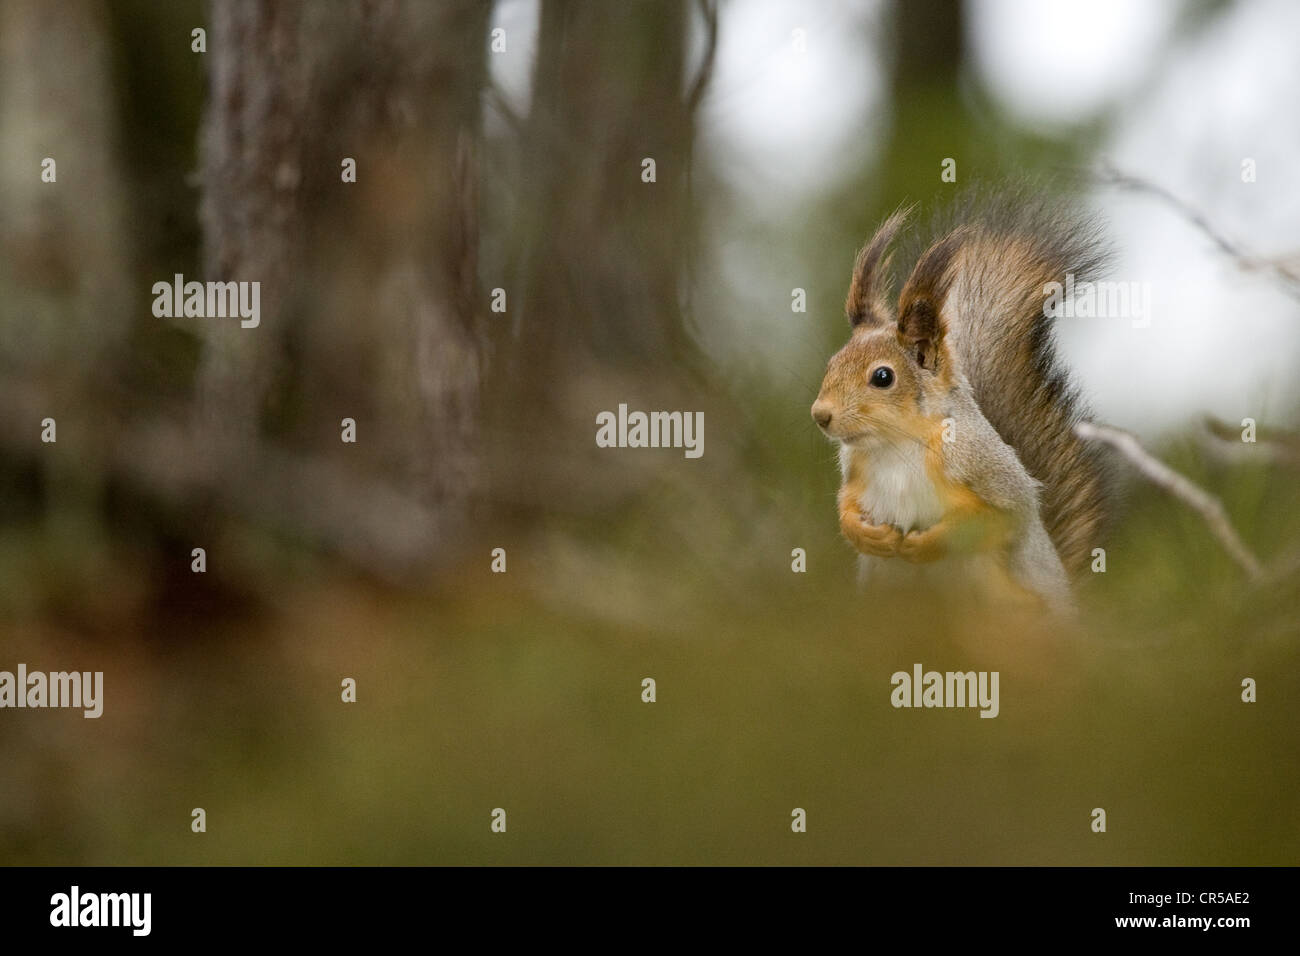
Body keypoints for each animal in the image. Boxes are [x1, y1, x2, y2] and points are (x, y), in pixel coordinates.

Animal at [810, 189, 1114, 615]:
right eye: (832, 364)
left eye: (882, 377)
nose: (820, 415)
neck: (896, 443)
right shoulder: (856, 467)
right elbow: (846, 505)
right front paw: (865, 534)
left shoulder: (983, 465)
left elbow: (1005, 517)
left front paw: (926, 544)